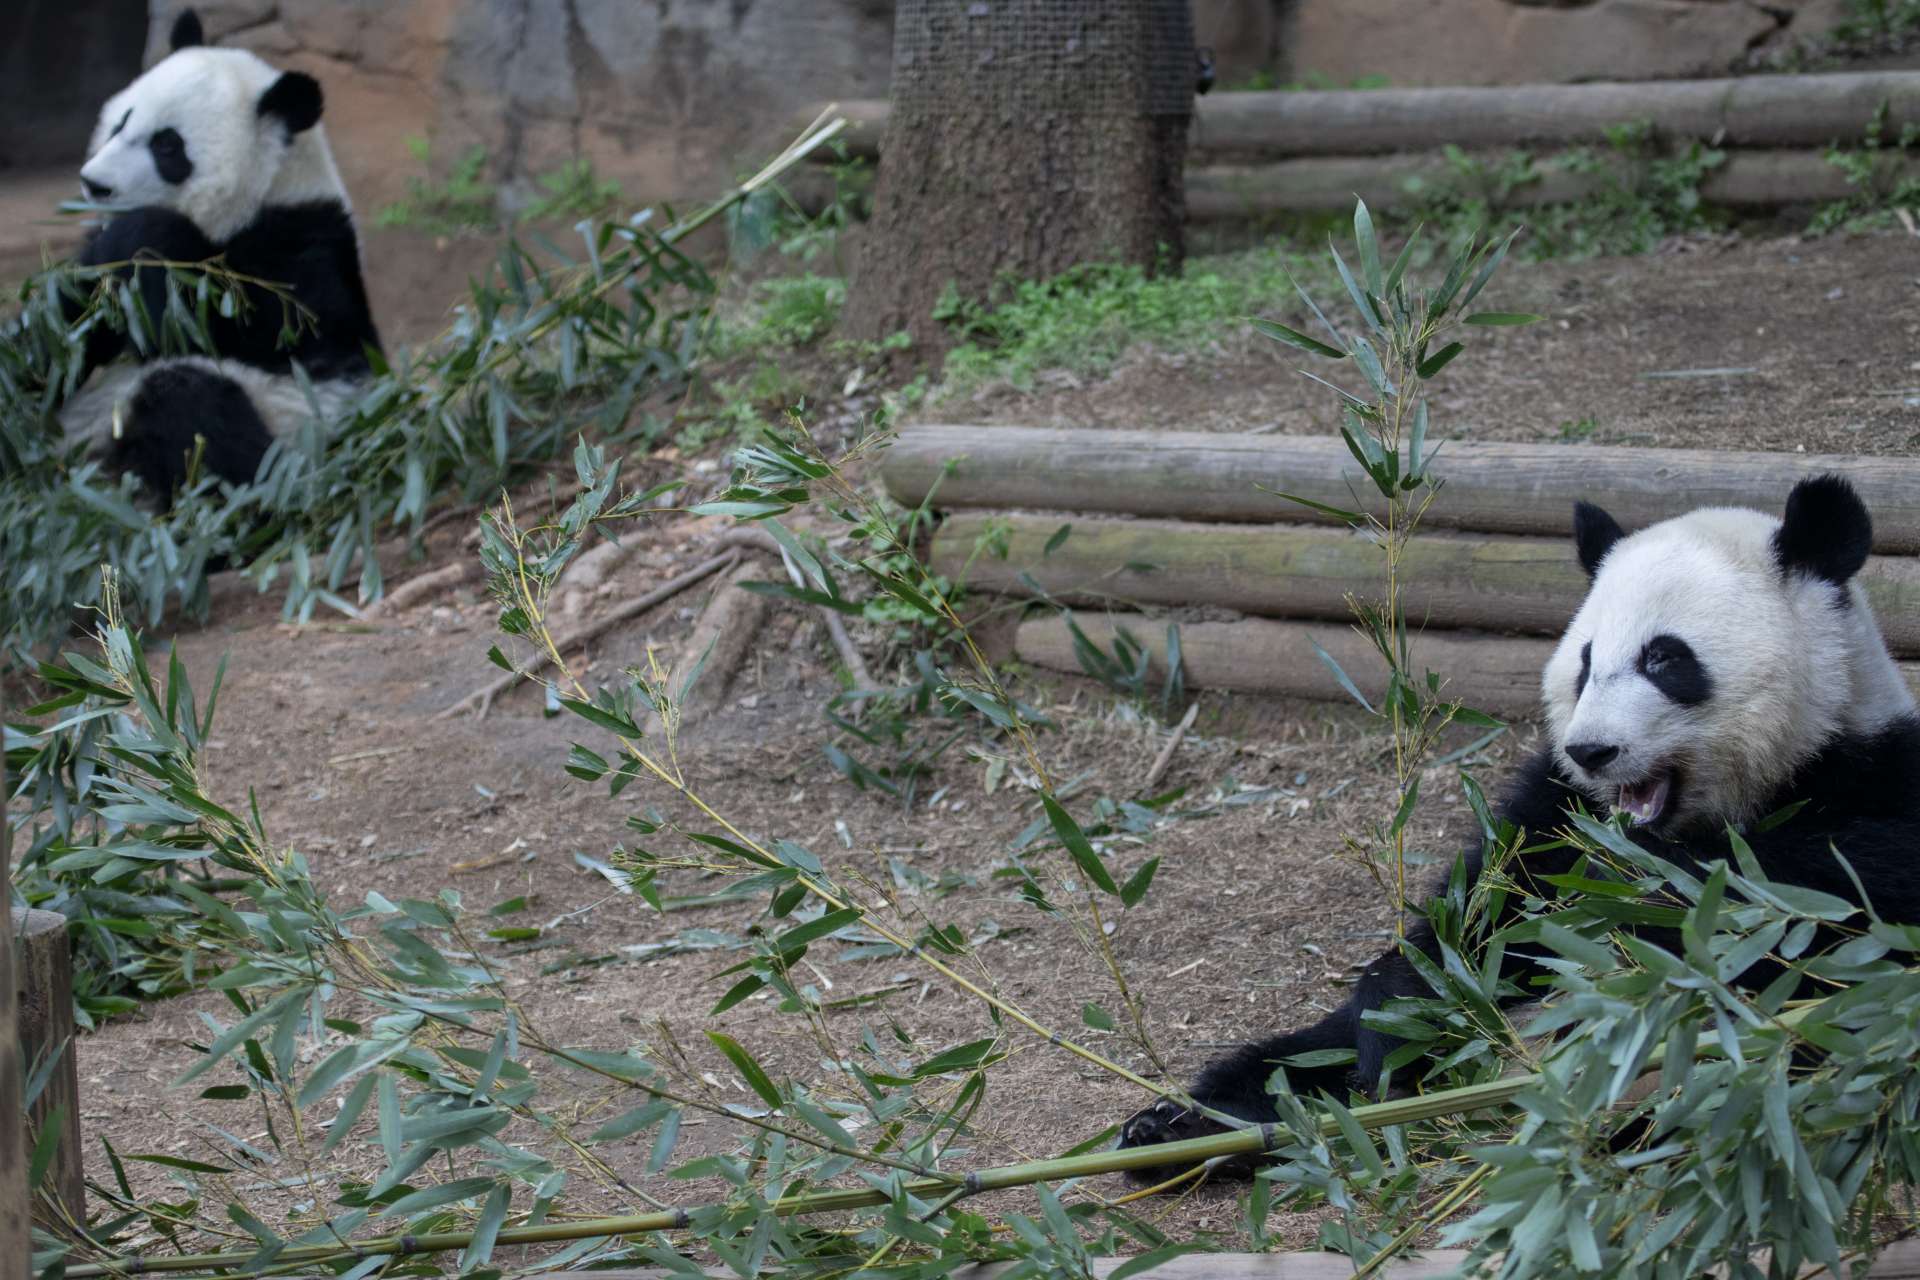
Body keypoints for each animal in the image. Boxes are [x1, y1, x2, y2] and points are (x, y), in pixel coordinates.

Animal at [55, 8, 379, 501]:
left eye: (167, 145)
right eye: (121, 122)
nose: (96, 185)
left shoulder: (302, 248)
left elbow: (257, 332)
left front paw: (145, 238)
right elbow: (69, 325)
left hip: (292, 423)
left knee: (195, 407)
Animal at [1117, 474, 1920, 1173]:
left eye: (1665, 658)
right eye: (1586, 661)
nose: (1593, 749)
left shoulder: (1869, 782)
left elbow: (1818, 903)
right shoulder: (1557, 813)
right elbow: (1476, 921)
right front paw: (1408, 1012)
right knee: (1307, 1056)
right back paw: (1190, 1128)